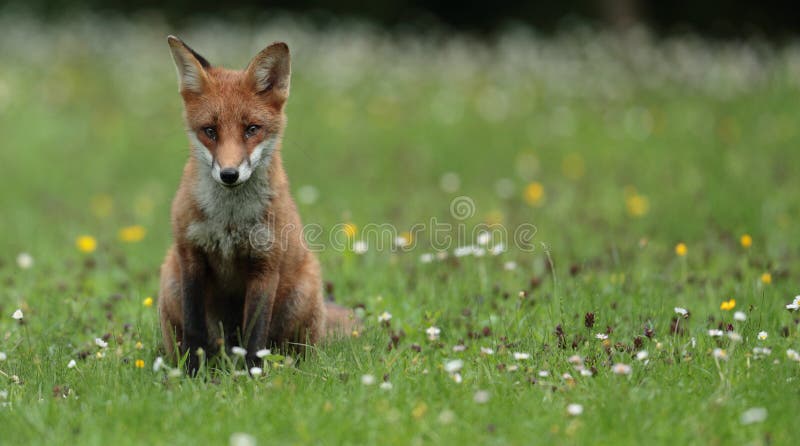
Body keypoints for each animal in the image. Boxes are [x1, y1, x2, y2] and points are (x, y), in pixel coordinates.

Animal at [158, 36, 353, 373]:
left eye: (252, 129)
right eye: (210, 131)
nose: (229, 174)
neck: (229, 221)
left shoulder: (265, 264)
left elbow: (255, 335)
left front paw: (253, 376)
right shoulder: (191, 256)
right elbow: (195, 329)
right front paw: (192, 374)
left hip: (302, 292)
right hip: (171, 278)